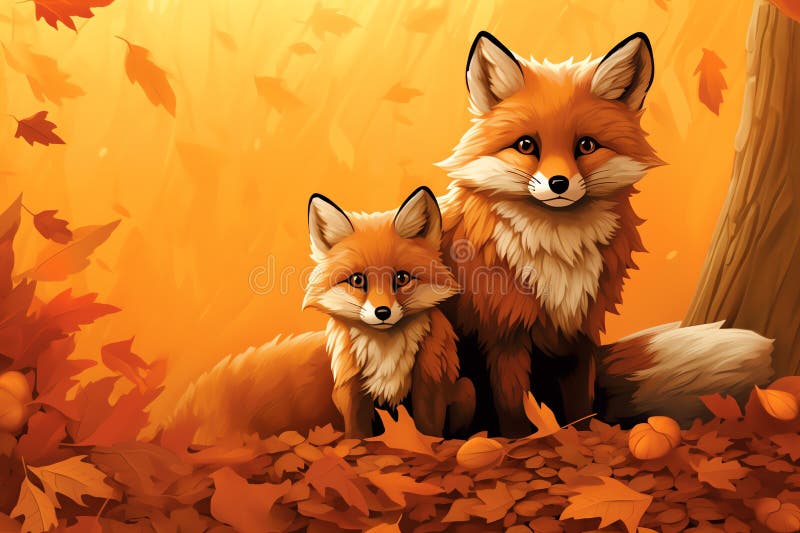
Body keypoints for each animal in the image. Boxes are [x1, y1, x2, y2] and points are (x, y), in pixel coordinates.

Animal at [170, 187, 475, 443]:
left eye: (401, 278)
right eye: (357, 280)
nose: (382, 312)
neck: (385, 353)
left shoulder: (430, 385)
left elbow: (429, 430)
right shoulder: (350, 389)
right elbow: (357, 434)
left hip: (467, 389)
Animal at [436, 31, 774, 436]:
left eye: (586, 145)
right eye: (526, 145)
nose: (558, 183)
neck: (559, 252)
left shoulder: (580, 333)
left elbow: (581, 406)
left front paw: (582, 439)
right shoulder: (504, 335)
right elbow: (514, 408)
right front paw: (518, 442)